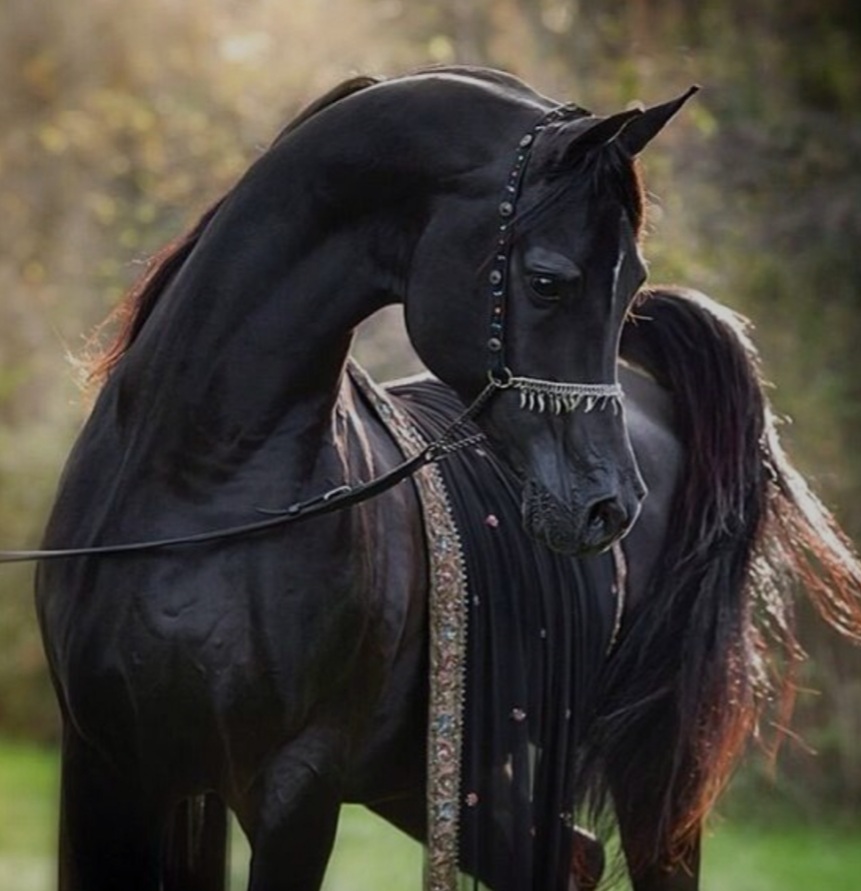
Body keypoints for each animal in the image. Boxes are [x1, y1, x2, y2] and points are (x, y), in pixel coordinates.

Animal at [15, 66, 860, 891]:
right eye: (547, 280)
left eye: (632, 282)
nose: (606, 506)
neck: (203, 483)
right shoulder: (109, 770)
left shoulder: (296, 785)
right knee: (576, 856)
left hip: (643, 774)